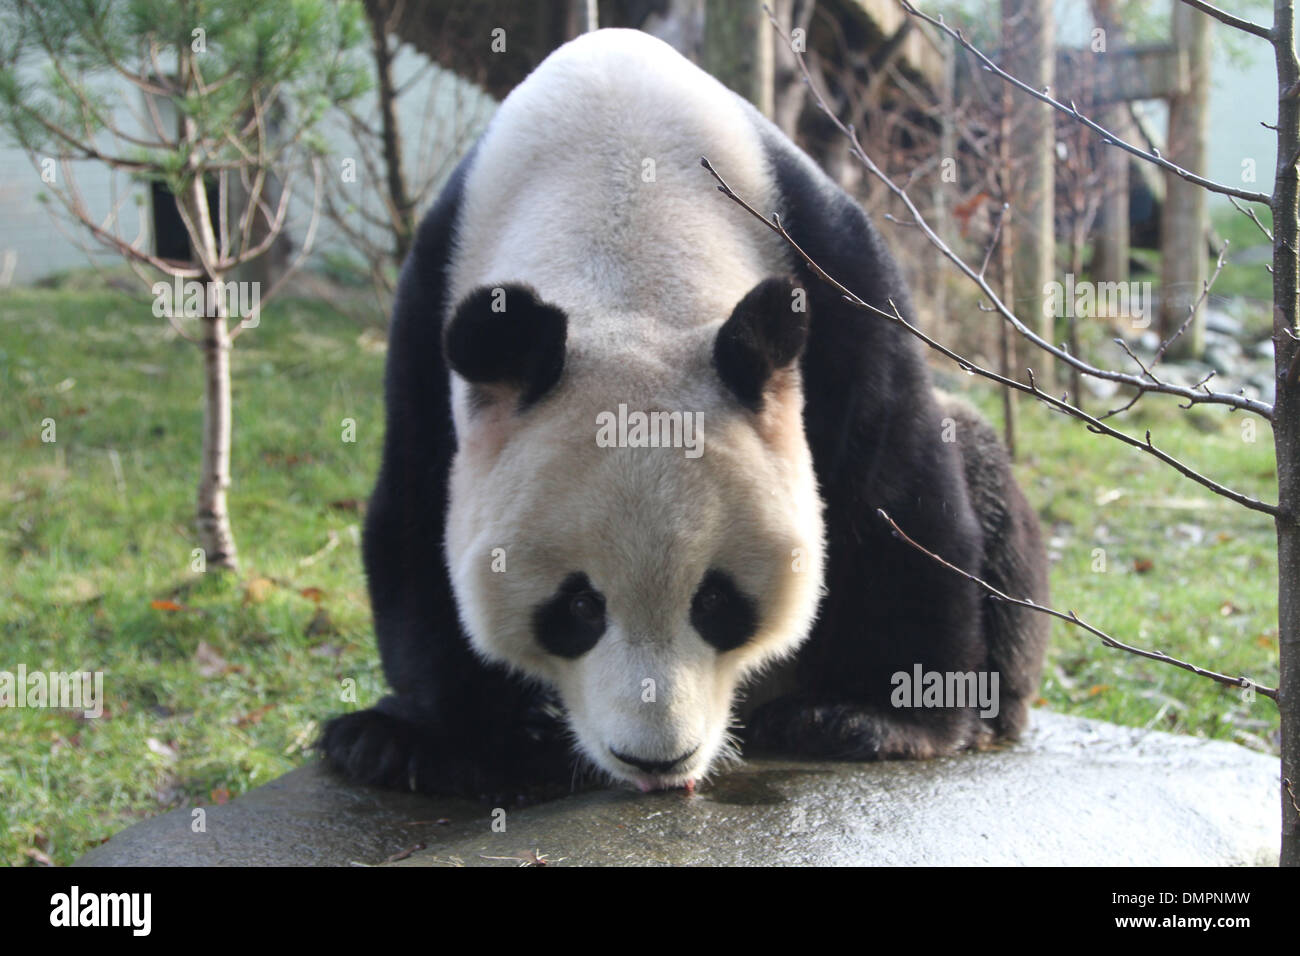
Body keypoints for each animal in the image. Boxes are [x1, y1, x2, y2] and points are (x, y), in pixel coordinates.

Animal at [320, 28, 1049, 801]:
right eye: (578, 608)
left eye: (717, 602)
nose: (656, 759)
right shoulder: (433, 305)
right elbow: (419, 503)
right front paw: (431, 740)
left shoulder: (831, 262)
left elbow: (895, 482)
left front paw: (876, 717)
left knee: (980, 467)